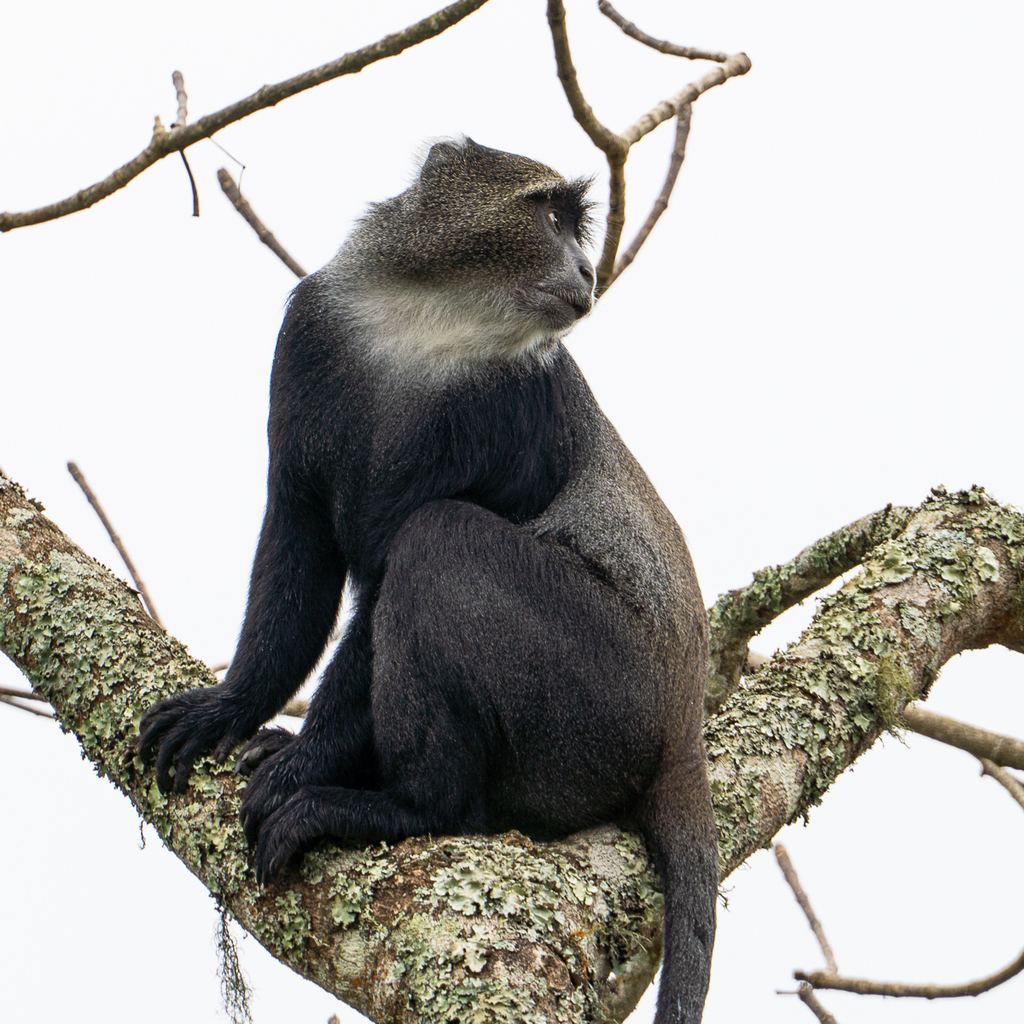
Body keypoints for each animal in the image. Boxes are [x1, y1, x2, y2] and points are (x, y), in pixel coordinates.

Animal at [137, 138, 717, 1023]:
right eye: (551, 217)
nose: (585, 267)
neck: (431, 322)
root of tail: (682, 723)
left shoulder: (514, 406)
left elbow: (384, 580)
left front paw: (302, 770)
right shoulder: (312, 331)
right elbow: (298, 537)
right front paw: (232, 708)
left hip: (600, 700)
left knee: (438, 544)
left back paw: (404, 808)